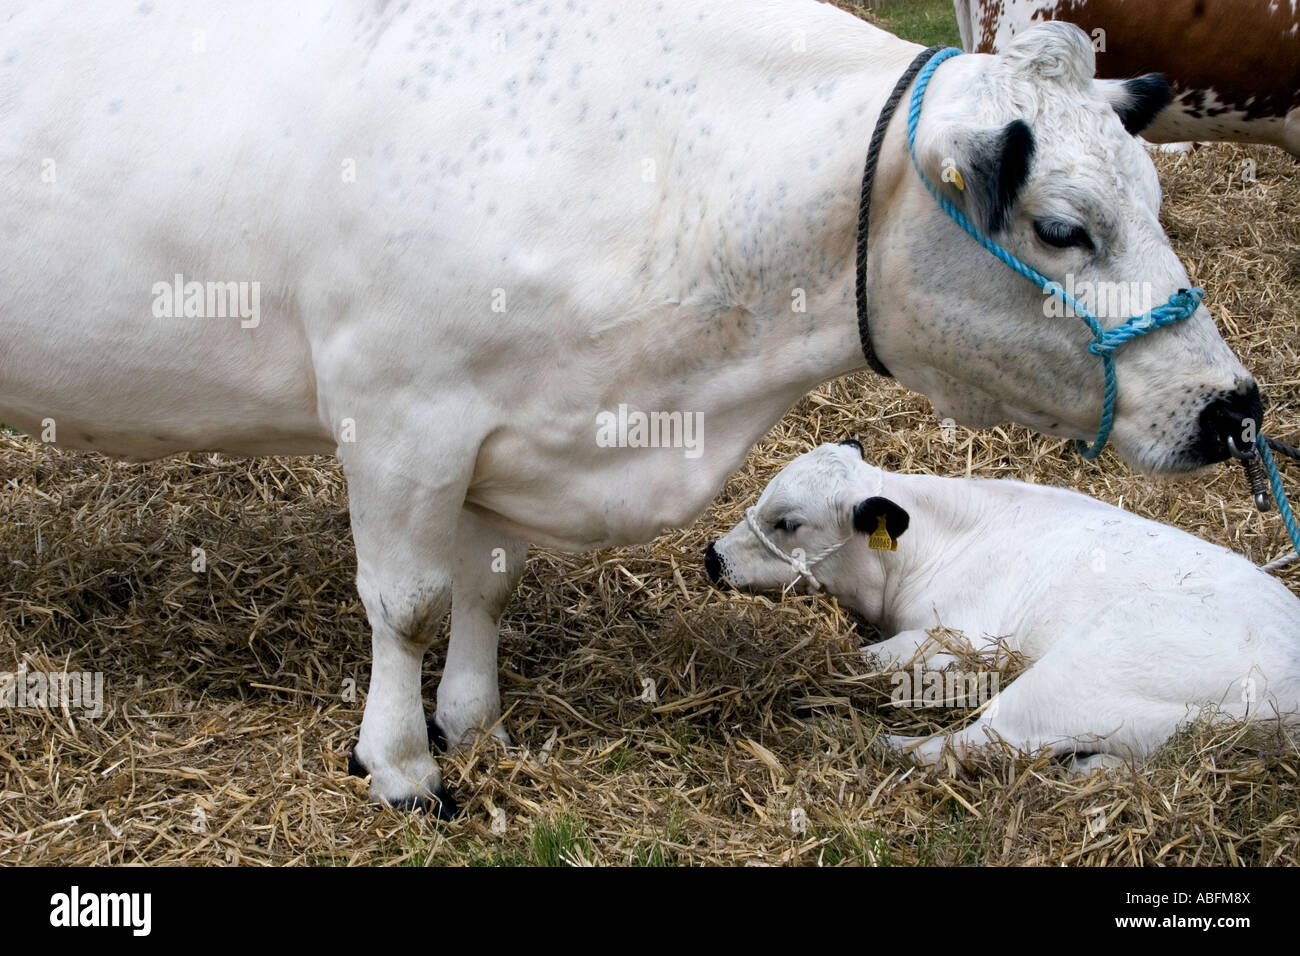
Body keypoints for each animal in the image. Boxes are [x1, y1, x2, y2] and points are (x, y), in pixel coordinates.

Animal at [705, 441, 1300, 770]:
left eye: (789, 522)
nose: (713, 559)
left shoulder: (962, 639)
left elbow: (865, 661)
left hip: (1079, 666)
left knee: (968, 745)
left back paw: (847, 735)